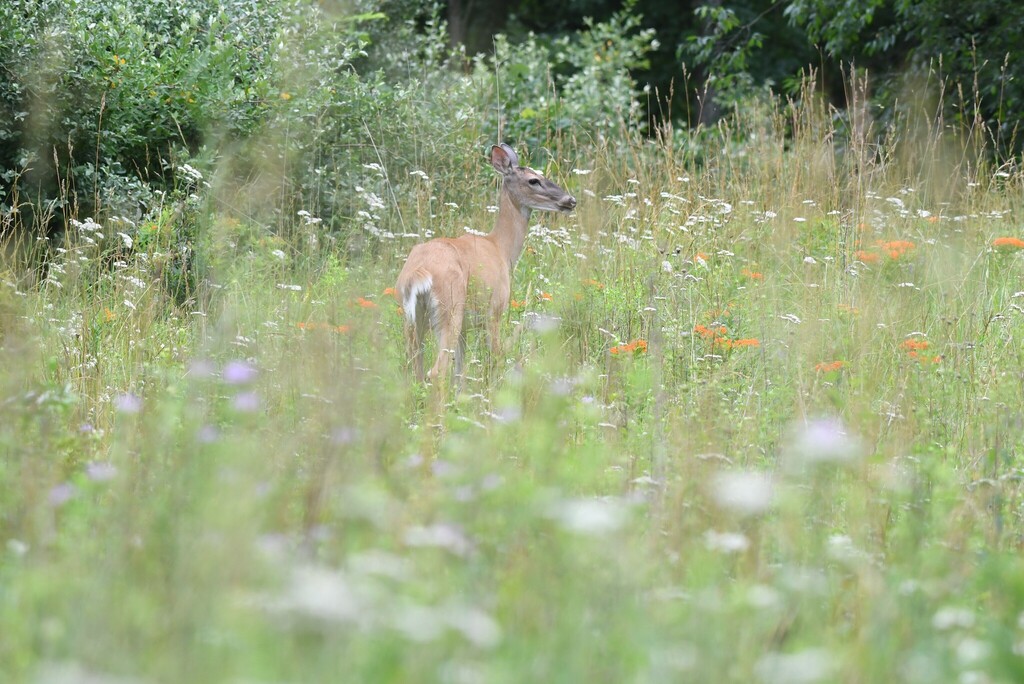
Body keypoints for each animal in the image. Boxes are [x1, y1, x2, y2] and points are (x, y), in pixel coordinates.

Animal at [395, 143, 576, 384]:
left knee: (413, 370)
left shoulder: (465, 327)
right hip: (449, 308)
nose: (570, 200)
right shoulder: (495, 309)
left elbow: (460, 372)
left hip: (412, 317)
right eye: (533, 180)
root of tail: (418, 272)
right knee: (436, 371)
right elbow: (496, 356)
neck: (500, 248)